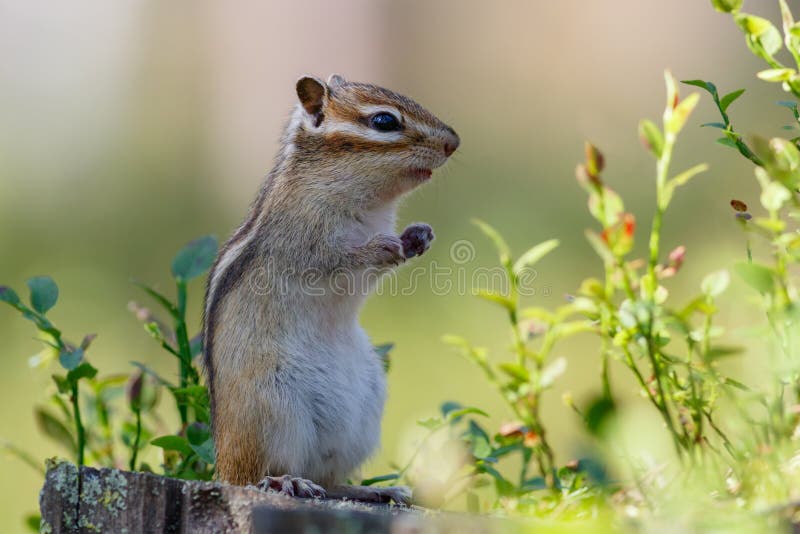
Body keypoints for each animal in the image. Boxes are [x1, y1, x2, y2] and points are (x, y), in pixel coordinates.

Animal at [202, 73, 459, 505]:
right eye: (385, 121)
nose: (453, 142)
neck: (370, 207)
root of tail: (225, 467)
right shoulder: (303, 243)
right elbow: (335, 260)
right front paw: (379, 247)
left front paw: (418, 236)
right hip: (273, 408)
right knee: (259, 473)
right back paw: (285, 482)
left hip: (364, 411)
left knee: (331, 480)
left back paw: (378, 492)